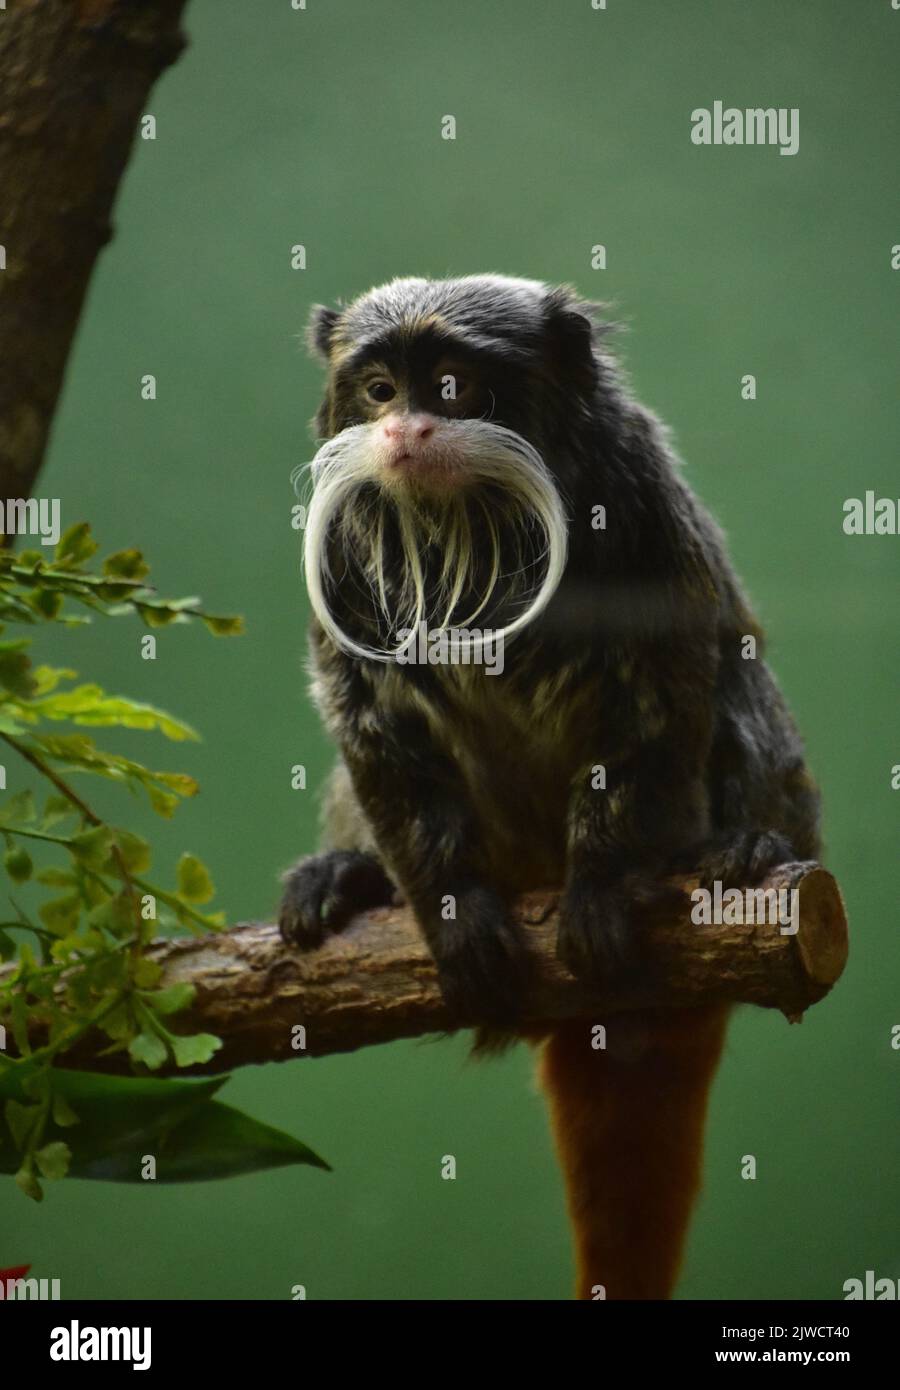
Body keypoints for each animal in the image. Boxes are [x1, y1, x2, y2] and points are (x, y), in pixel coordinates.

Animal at [278, 274, 821, 1300]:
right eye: (377, 390)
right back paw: (347, 876)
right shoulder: (342, 557)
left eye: (451, 387)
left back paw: (746, 848)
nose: (405, 430)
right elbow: (365, 713)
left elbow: (664, 688)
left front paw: (602, 889)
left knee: (738, 685)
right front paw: (451, 910)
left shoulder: (637, 502)